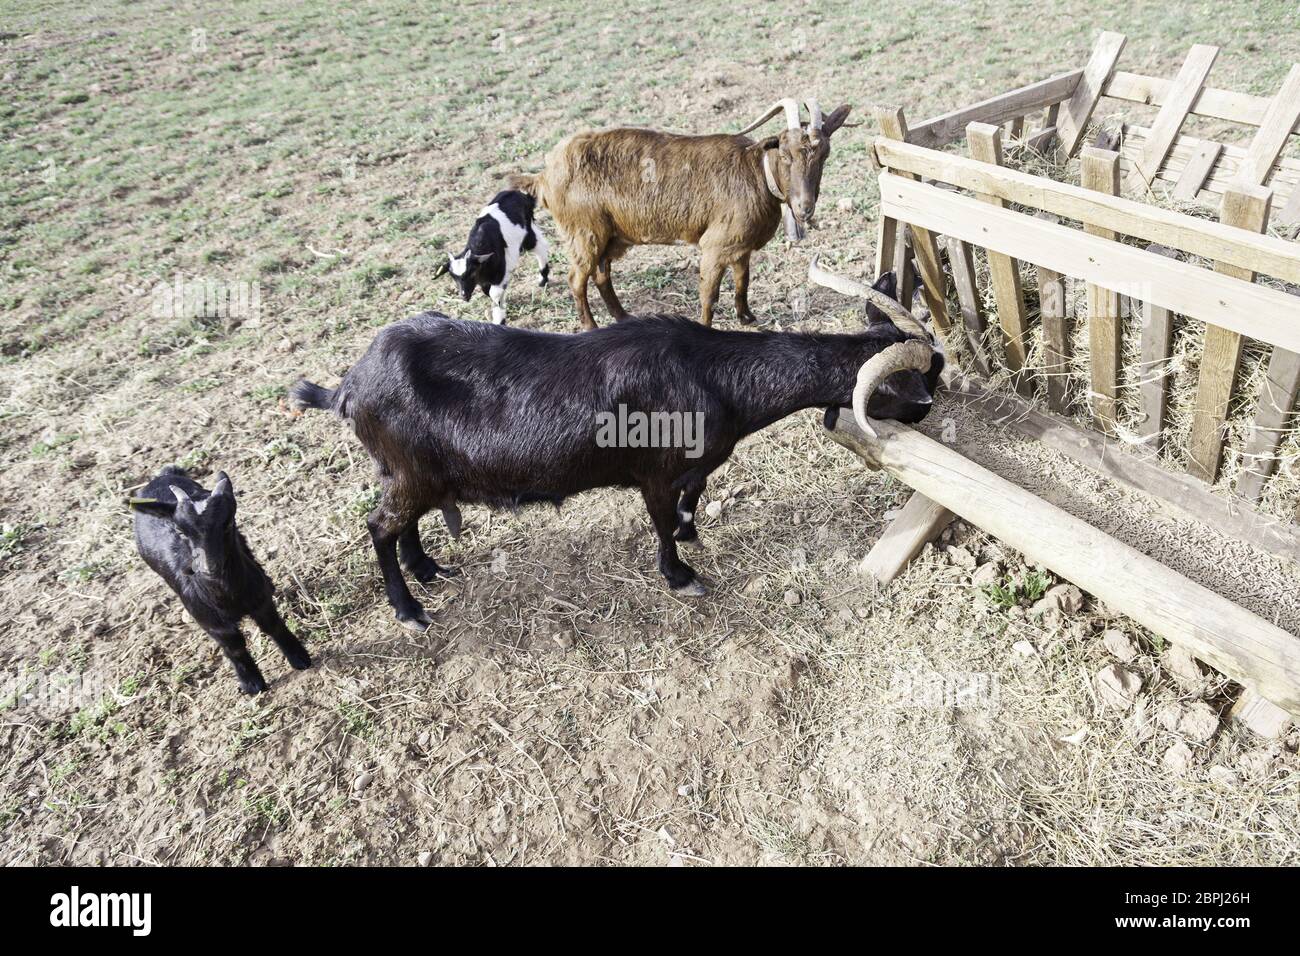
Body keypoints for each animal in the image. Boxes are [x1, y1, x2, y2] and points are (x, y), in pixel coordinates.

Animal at [131, 467, 311, 694]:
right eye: (180, 531)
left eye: (228, 523)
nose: (207, 567)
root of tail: (163, 475)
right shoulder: (210, 622)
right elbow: (234, 646)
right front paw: (251, 683)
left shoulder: (260, 601)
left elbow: (272, 625)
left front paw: (299, 657)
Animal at [290, 269, 939, 629]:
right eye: (911, 383)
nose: (934, 403)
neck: (713, 375)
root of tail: (347, 386)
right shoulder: (653, 472)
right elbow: (660, 521)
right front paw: (680, 575)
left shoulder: (694, 467)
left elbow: (692, 498)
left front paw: (690, 533)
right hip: (407, 473)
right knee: (379, 526)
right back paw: (409, 610)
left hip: (408, 471)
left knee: (404, 524)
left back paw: (428, 569)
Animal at [432, 189, 550, 325]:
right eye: (453, 277)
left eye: (471, 273)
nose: (463, 295)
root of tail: (521, 194)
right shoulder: (485, 280)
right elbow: (488, 292)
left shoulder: (500, 273)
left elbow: (494, 294)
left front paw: (499, 321)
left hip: (527, 233)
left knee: (540, 247)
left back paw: (543, 278)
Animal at [511, 97, 850, 330]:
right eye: (786, 153)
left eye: (825, 154)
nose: (805, 207)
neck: (757, 173)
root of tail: (545, 175)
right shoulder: (715, 245)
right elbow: (709, 293)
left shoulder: (740, 247)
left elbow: (743, 281)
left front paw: (747, 317)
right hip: (585, 231)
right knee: (577, 278)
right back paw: (590, 326)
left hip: (612, 235)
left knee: (601, 273)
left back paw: (623, 317)